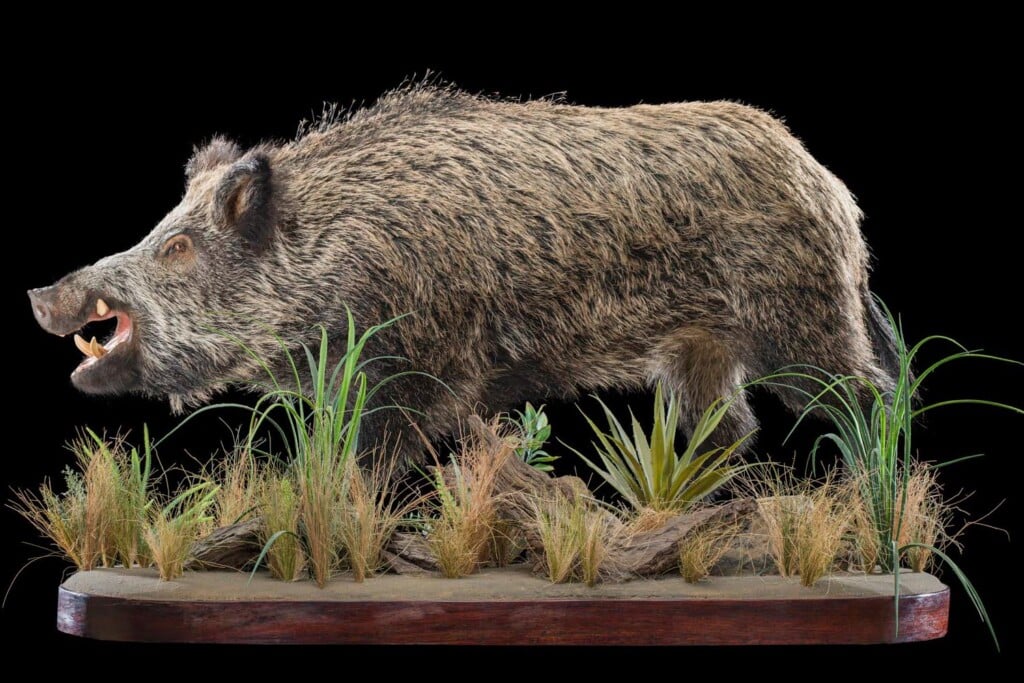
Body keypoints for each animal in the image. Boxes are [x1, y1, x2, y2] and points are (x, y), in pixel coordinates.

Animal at [28, 85, 897, 463]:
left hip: (799, 320)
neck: (335, 252)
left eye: (178, 247)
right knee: (731, 425)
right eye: (159, 229)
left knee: (866, 397)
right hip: (698, 350)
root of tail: (831, 187)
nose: (41, 291)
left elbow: (370, 455)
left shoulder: (414, 365)